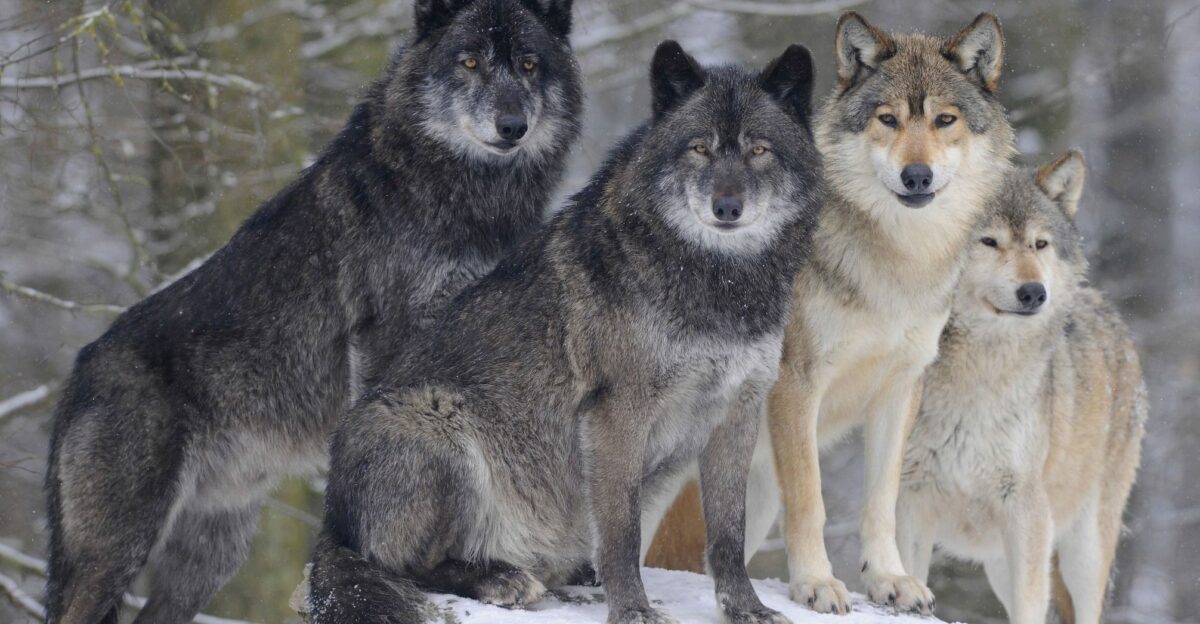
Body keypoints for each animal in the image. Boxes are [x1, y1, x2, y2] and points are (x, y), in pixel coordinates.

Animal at [43, 1, 581, 622]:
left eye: (529, 64)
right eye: (470, 62)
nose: (512, 125)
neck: (463, 192)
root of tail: (78, 372)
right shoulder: (386, 339)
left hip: (211, 556)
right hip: (119, 551)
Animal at [305, 40, 823, 624]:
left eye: (759, 150)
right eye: (698, 149)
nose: (727, 207)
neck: (719, 286)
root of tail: (331, 527)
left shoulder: (738, 412)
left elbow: (728, 534)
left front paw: (746, 609)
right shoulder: (617, 411)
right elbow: (622, 532)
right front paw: (633, 611)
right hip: (434, 419)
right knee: (402, 566)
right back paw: (499, 578)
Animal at [646, 12, 1016, 615]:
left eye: (945, 120)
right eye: (888, 119)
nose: (917, 176)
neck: (896, 263)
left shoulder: (901, 389)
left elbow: (881, 501)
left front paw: (889, 579)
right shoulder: (796, 384)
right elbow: (811, 500)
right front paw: (816, 583)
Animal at [897, 152, 1146, 624]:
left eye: (1040, 244)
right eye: (988, 242)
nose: (1034, 292)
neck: (978, 379)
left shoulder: (1027, 513)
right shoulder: (911, 502)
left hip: (1081, 551)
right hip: (1001, 561)